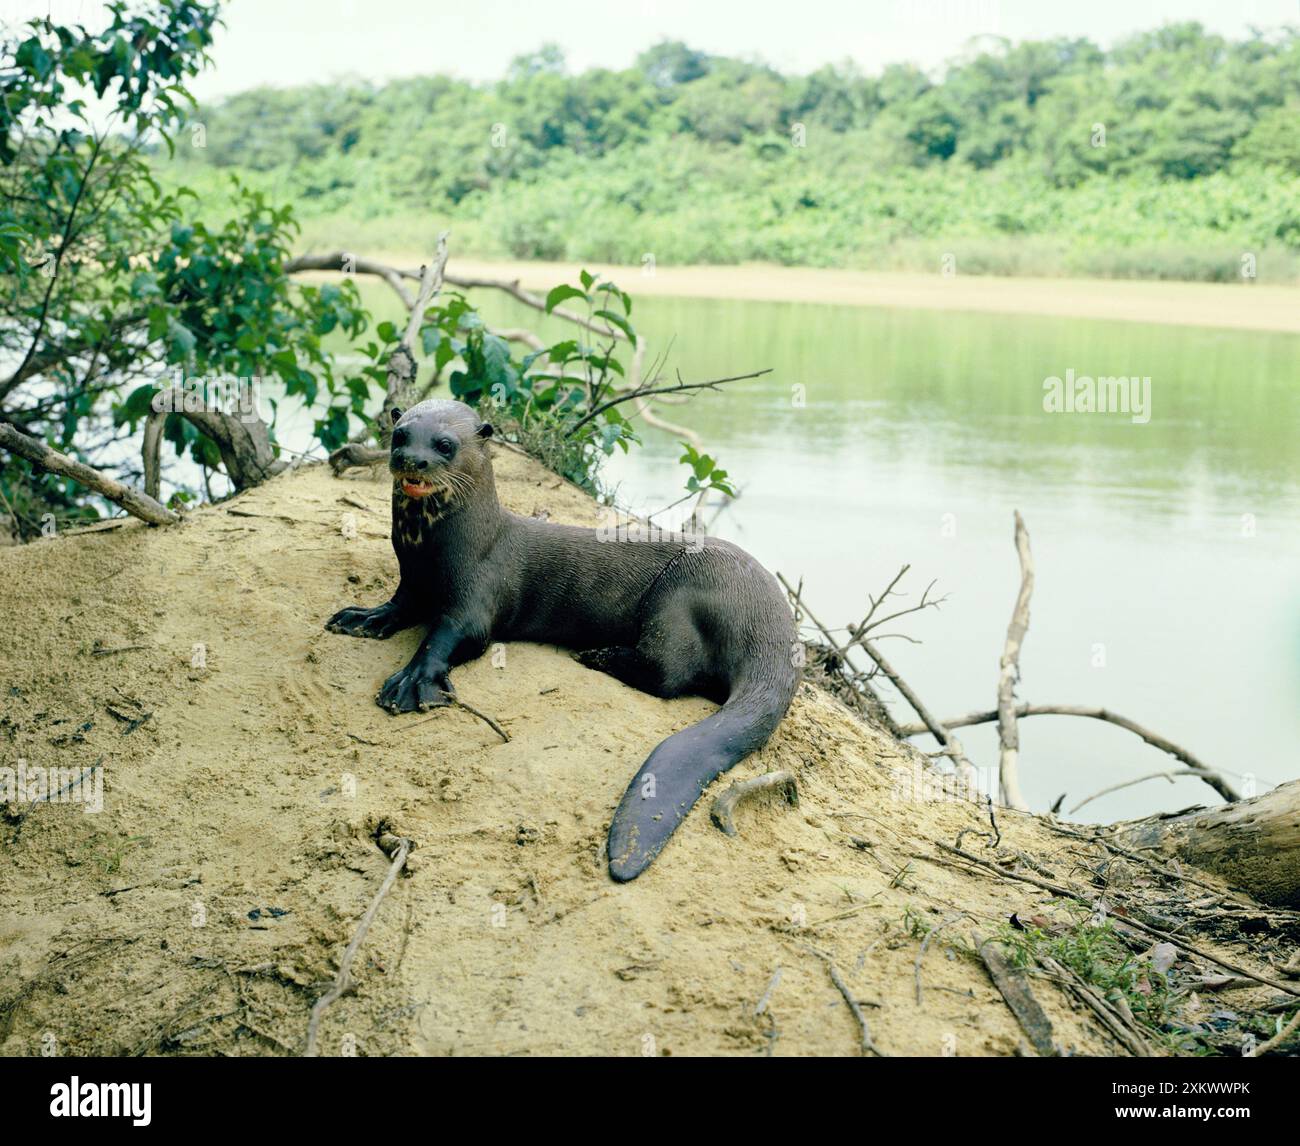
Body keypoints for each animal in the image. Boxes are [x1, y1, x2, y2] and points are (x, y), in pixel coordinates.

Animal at [326, 399, 798, 881]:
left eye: (444, 444)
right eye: (400, 434)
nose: (411, 460)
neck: (435, 550)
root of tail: (774, 627)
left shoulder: (475, 596)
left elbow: (454, 636)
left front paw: (413, 680)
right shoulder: (413, 580)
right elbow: (399, 604)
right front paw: (365, 617)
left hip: (682, 590)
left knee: (669, 673)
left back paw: (597, 656)